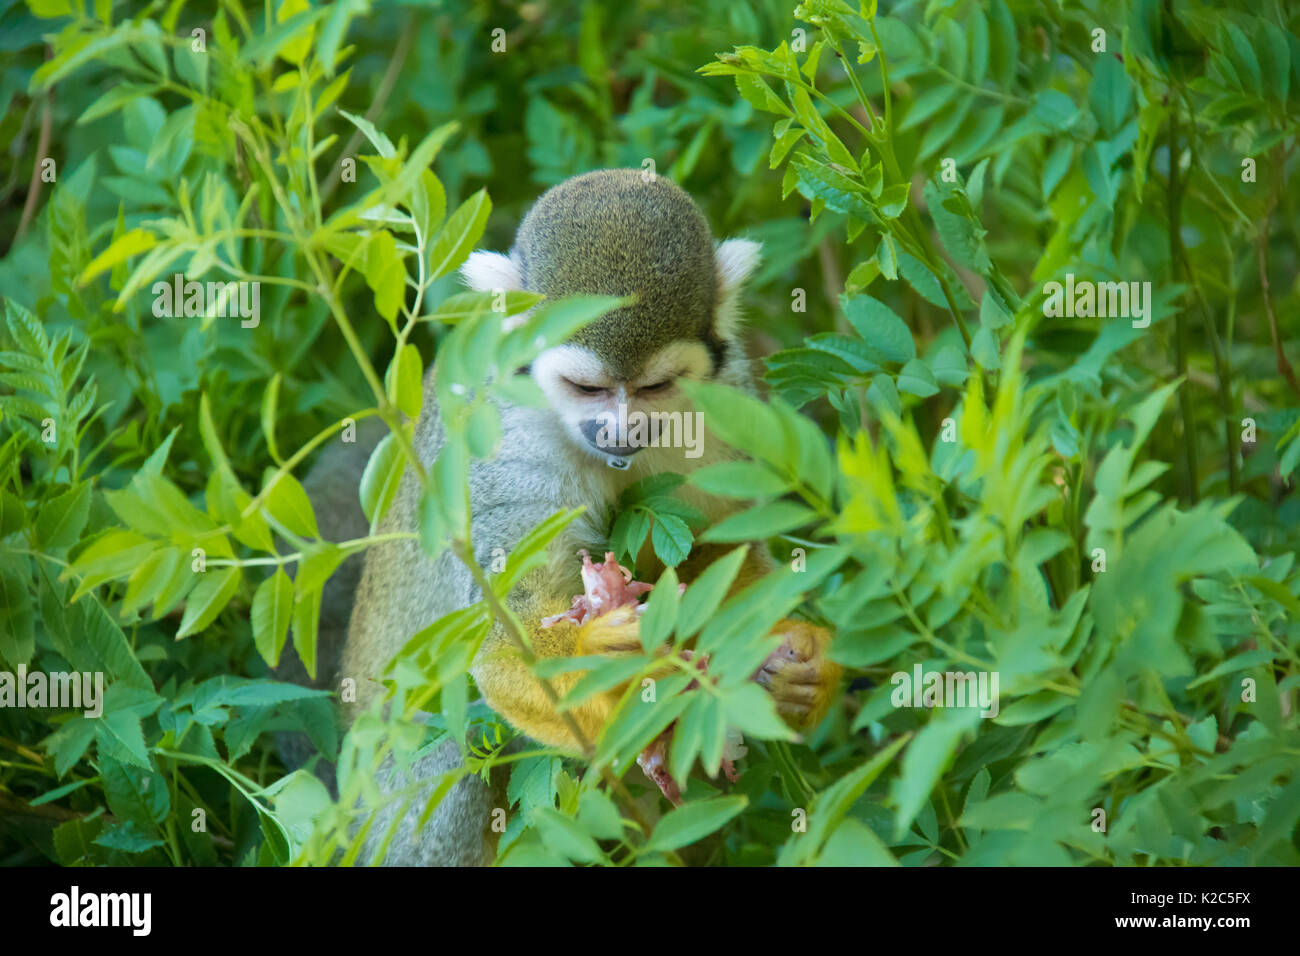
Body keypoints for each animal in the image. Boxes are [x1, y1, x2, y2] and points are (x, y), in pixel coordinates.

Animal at [331, 169, 841, 865]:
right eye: (586, 389)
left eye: (656, 387)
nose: (622, 432)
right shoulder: (504, 436)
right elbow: (500, 645)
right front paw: (603, 652)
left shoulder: (724, 396)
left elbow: (712, 556)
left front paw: (799, 666)